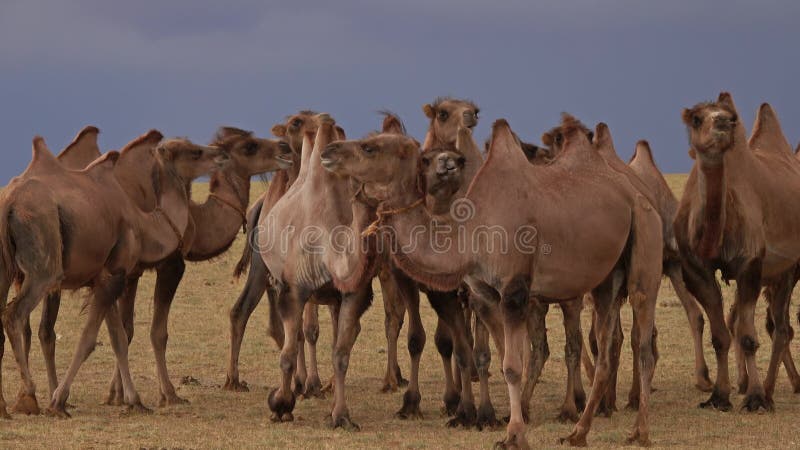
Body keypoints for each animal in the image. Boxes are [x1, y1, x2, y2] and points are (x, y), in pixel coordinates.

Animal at [0, 134, 221, 418]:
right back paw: (28, 397)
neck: (143, 225)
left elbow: (119, 339)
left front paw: (135, 400)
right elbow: (89, 339)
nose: (221, 153)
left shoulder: (106, 278)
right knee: (14, 314)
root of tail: (9, 203)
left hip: (5, 269)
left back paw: (4, 407)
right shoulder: (114, 275)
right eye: (194, 152)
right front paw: (58, 401)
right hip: (43, 263)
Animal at [321, 115, 663, 447]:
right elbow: (504, 360)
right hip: (606, 278)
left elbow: (513, 365)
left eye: (369, 147)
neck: (472, 232)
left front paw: (514, 436)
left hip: (645, 242)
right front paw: (503, 422)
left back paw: (640, 432)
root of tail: (639, 194)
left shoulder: (514, 291)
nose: (327, 152)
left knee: (643, 339)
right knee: (606, 351)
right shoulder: (483, 293)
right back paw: (578, 433)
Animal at [674, 93, 800, 412]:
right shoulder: (695, 269)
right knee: (777, 325)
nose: (721, 123)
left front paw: (754, 398)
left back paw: (768, 391)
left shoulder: (750, 264)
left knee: (781, 327)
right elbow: (721, 335)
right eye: (697, 118)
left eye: (731, 118)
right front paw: (719, 396)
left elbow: (746, 335)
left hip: (791, 268)